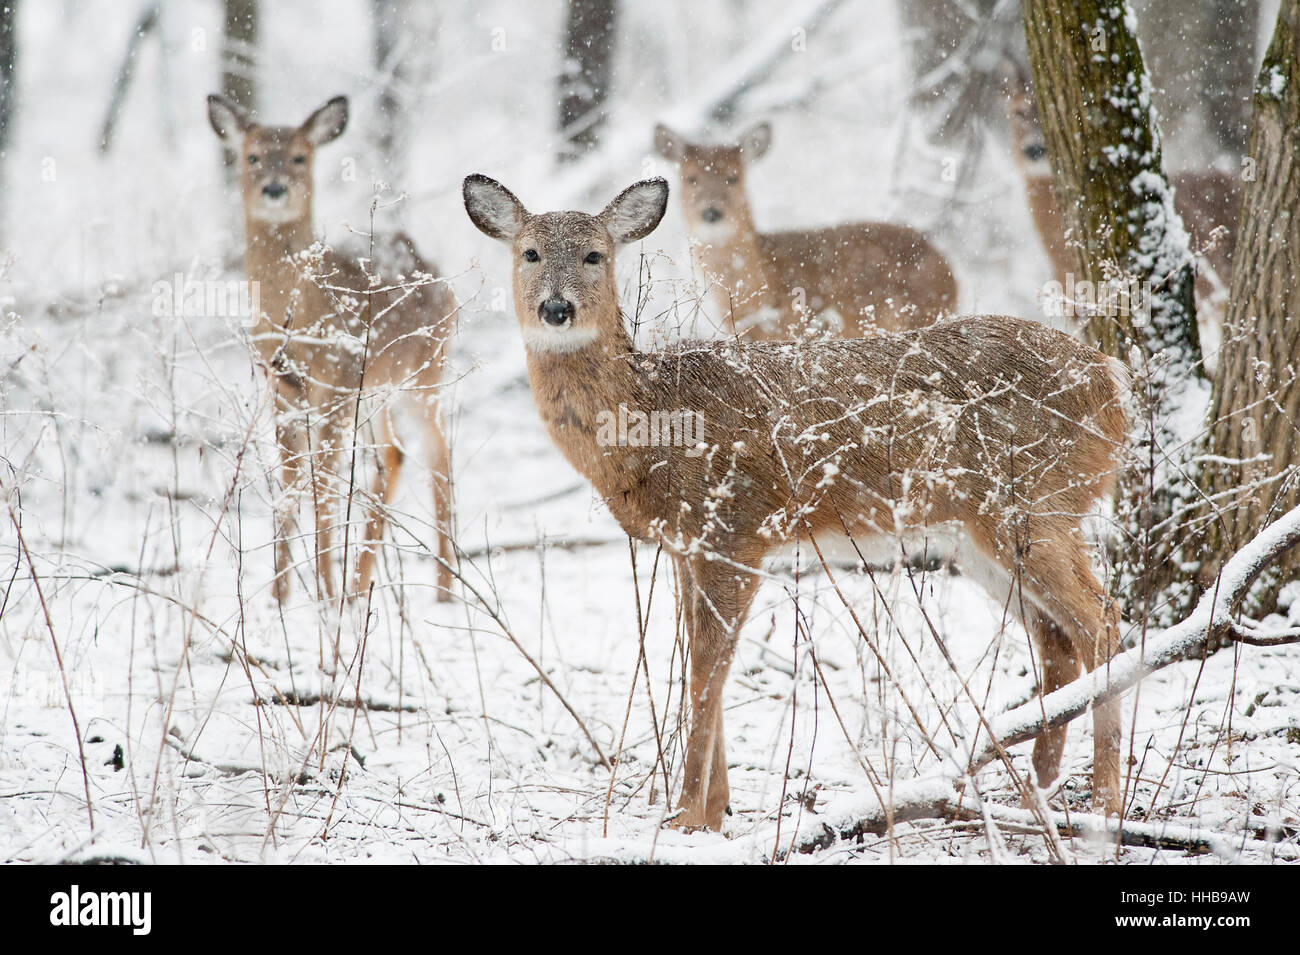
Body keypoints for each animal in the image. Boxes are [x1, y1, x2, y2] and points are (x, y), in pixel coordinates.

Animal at [207, 94, 457, 604]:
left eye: (301, 157)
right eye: (252, 156)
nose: (275, 188)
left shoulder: (338, 384)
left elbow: (322, 486)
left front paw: (323, 594)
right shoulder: (282, 389)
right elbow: (289, 485)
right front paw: (281, 597)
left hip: (424, 375)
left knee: (439, 457)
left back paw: (442, 593)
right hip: (378, 389)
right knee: (394, 456)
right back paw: (360, 585)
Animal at [463, 172, 1130, 831]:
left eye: (595, 254)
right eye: (530, 252)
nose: (557, 309)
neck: (654, 419)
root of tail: (1114, 382)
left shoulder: (737, 529)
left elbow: (707, 672)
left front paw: (685, 819)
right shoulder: (688, 547)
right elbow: (700, 662)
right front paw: (715, 812)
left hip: (1035, 500)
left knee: (1102, 618)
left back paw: (1104, 804)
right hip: (974, 533)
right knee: (1056, 638)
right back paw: (1036, 795)